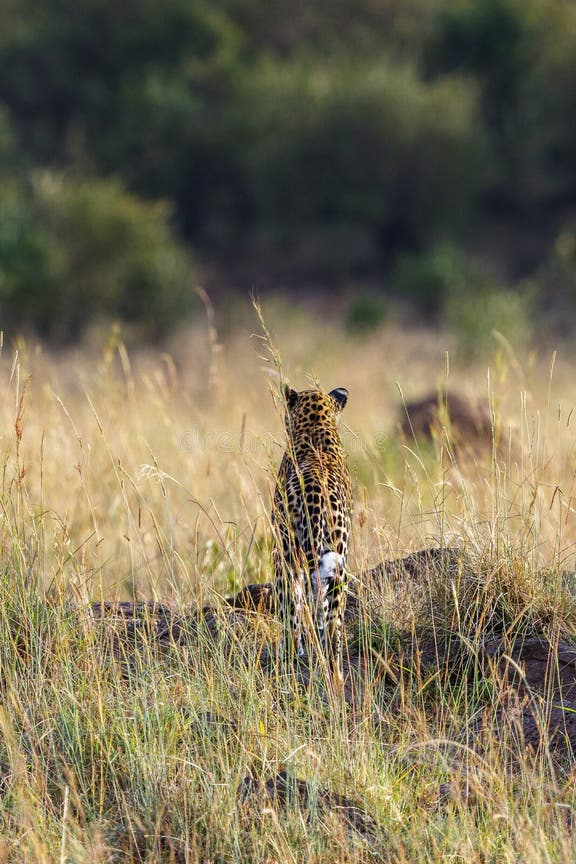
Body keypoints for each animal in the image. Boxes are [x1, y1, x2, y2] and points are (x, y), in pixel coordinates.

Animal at [272, 384, 352, 686]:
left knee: (293, 616)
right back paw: (334, 673)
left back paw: (291, 656)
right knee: (331, 626)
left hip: (286, 557)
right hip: (336, 563)